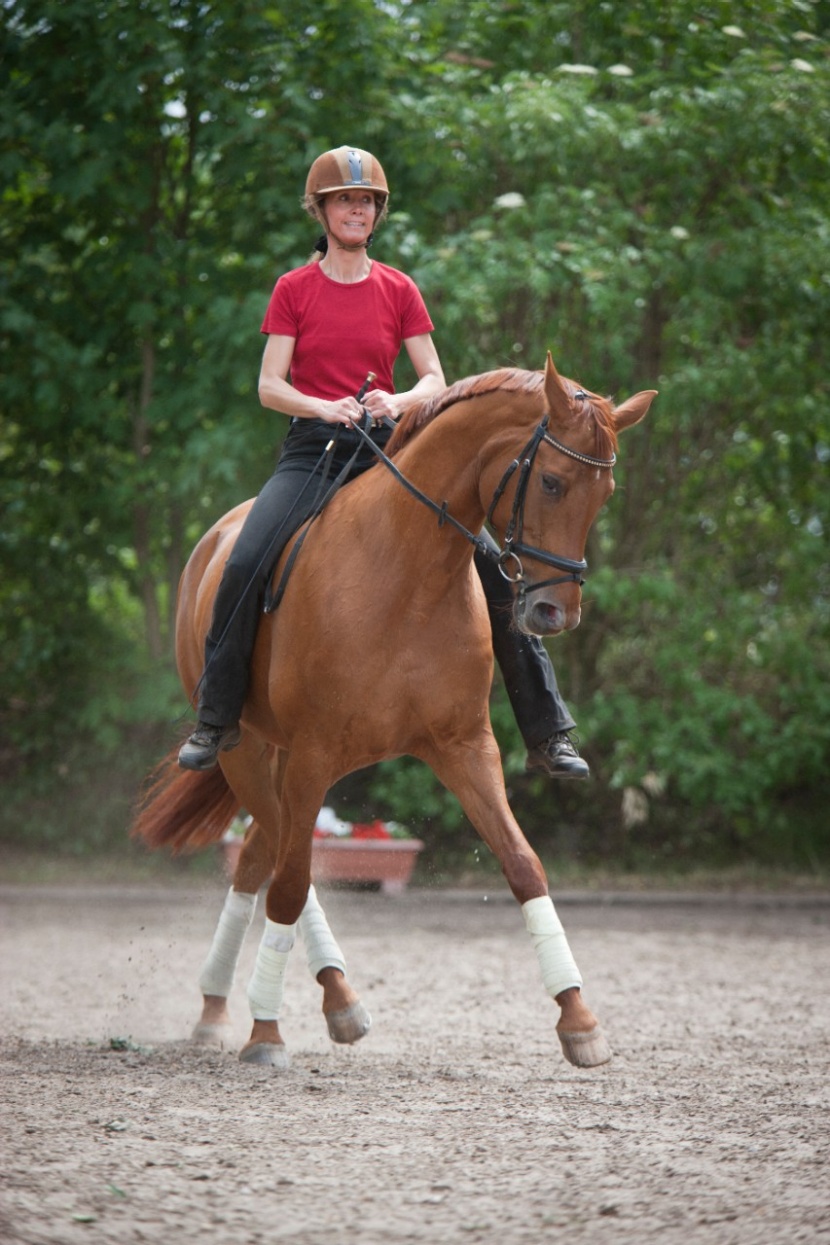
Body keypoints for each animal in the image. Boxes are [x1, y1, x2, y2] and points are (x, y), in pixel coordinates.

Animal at [132, 353, 655, 1069]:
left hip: (282, 760)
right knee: (281, 864)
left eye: (603, 495)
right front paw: (266, 1033)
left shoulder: (464, 747)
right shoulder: (316, 753)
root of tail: (215, 539)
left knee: (261, 856)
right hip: (250, 751)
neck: (408, 575)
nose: (555, 614)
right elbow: (293, 884)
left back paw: (256, 1004)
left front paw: (579, 1020)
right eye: (551, 482)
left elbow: (524, 865)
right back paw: (278, 1005)